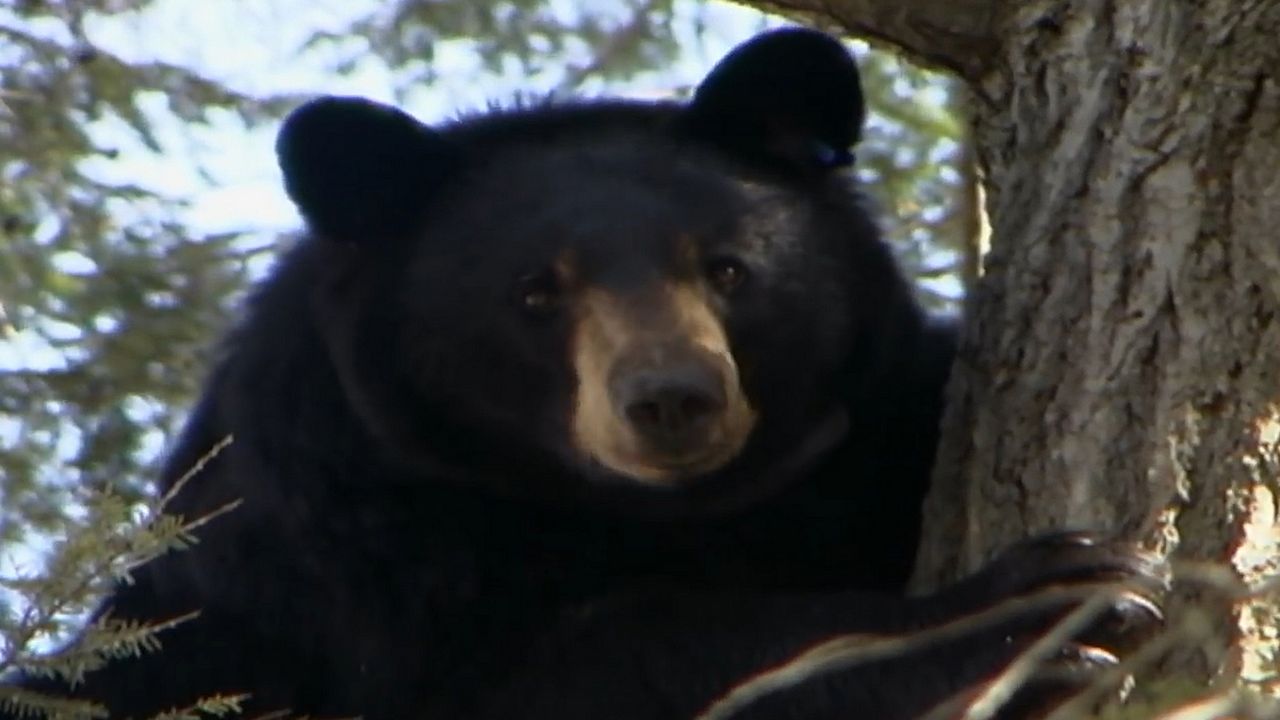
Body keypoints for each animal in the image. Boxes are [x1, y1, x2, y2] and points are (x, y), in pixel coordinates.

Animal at [3, 27, 1164, 720]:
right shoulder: (360, 567)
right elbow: (597, 662)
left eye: (726, 267)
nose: (670, 400)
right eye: (533, 292)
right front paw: (1049, 601)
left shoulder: (863, 435)